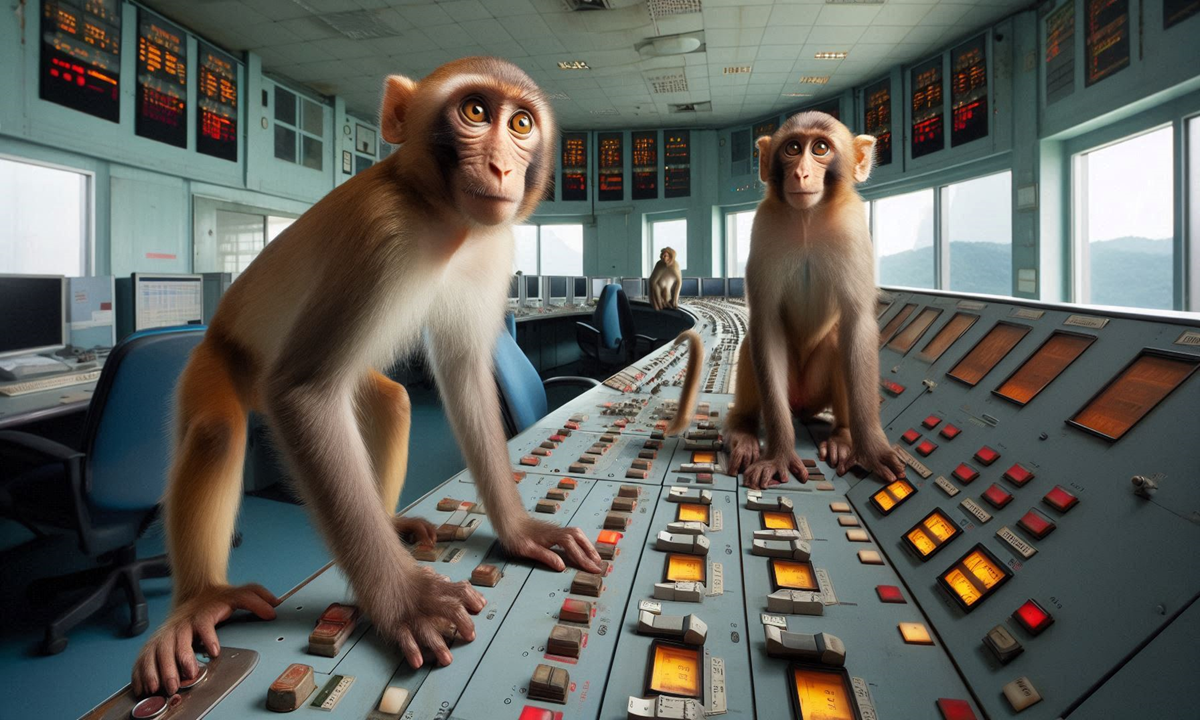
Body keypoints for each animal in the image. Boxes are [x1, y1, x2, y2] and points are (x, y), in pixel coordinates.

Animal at [131, 58, 602, 697]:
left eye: (522, 123)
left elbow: (464, 373)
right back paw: (204, 598)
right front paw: (404, 601)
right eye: (476, 111)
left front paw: (520, 528)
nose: (502, 166)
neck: (443, 220)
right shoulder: (381, 231)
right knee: (216, 431)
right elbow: (303, 393)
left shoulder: (490, 248)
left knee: (392, 401)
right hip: (219, 358)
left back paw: (389, 519)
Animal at [672, 112, 906, 490]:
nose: (801, 173)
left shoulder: (853, 230)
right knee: (751, 343)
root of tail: (801, 404)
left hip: (814, 390)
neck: (806, 220)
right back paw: (744, 429)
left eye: (821, 148)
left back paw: (842, 434)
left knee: (838, 340)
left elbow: (857, 323)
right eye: (793, 149)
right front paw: (779, 452)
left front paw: (871, 447)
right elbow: (765, 324)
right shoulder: (765, 228)